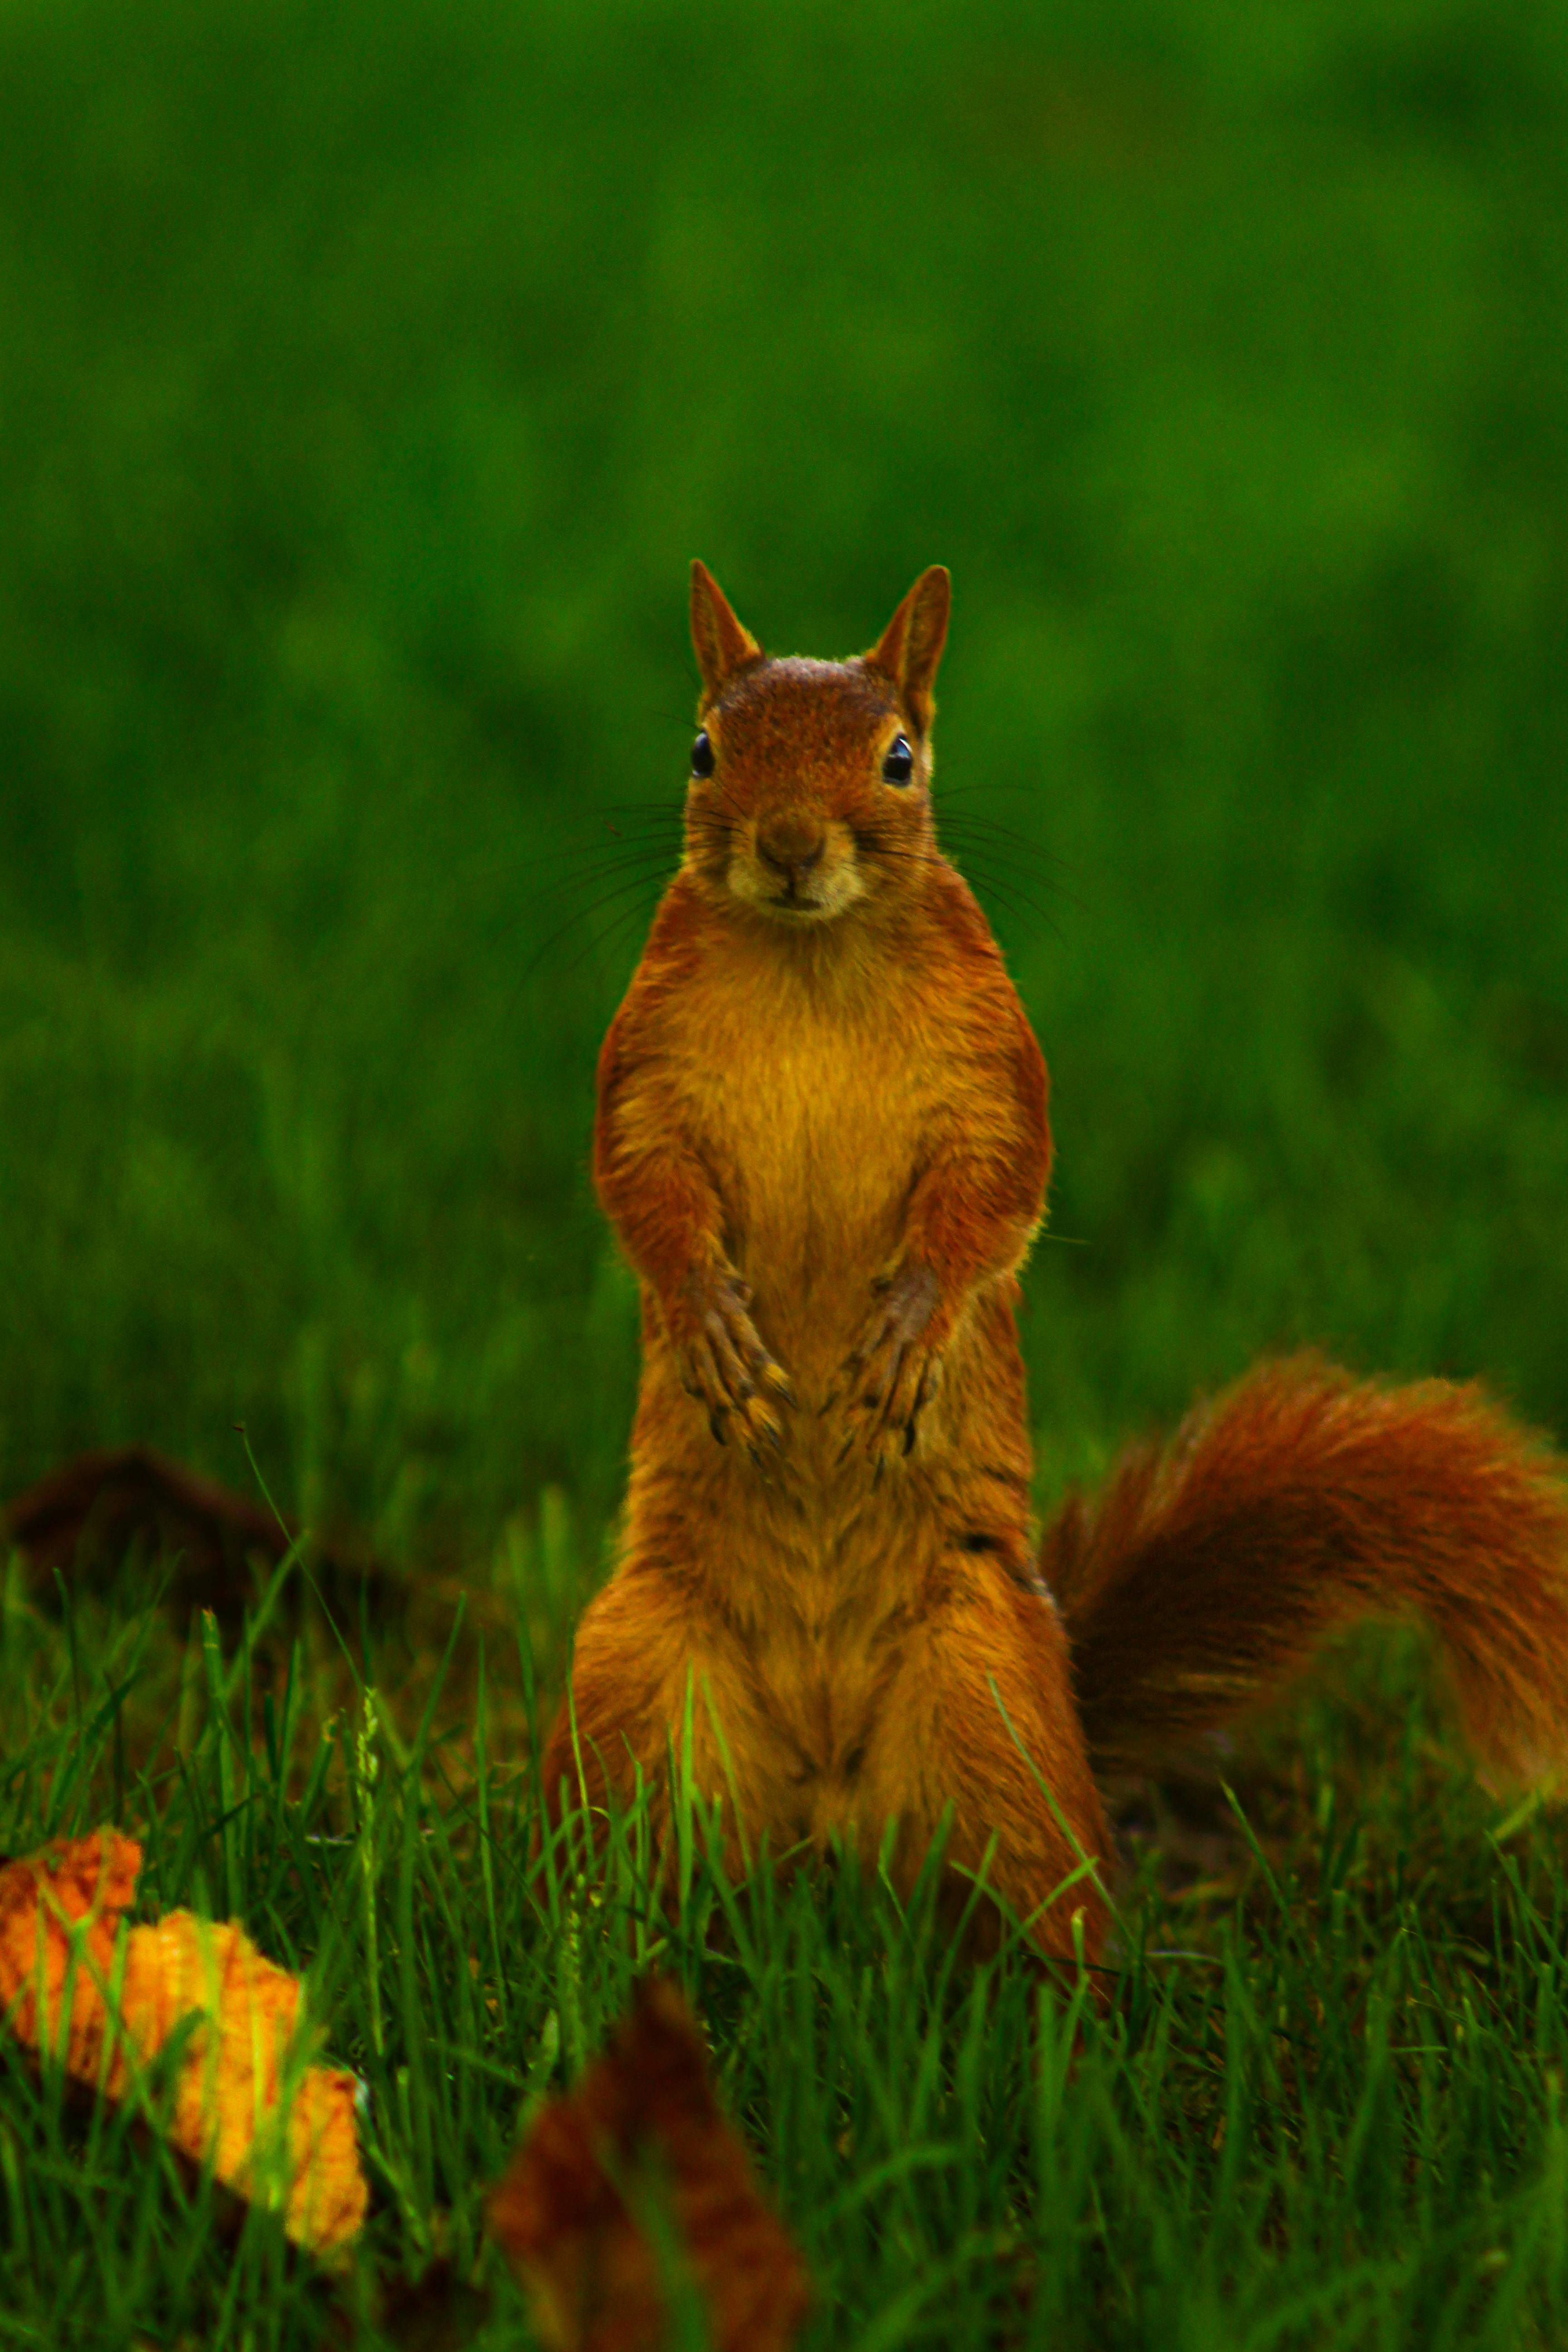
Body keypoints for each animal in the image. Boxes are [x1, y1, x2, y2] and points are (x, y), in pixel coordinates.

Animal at [539, 561, 1568, 1969]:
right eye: (703, 749)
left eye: (899, 757)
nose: (792, 845)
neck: (810, 959)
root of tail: (823, 1796)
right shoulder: (643, 1068)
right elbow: (642, 1191)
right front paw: (709, 1324)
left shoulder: (991, 1065)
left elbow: (995, 1194)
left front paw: (909, 1329)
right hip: (639, 1688)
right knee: (640, 1869)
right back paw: (597, 1953)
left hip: (990, 1708)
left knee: (1042, 1910)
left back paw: (1048, 2008)